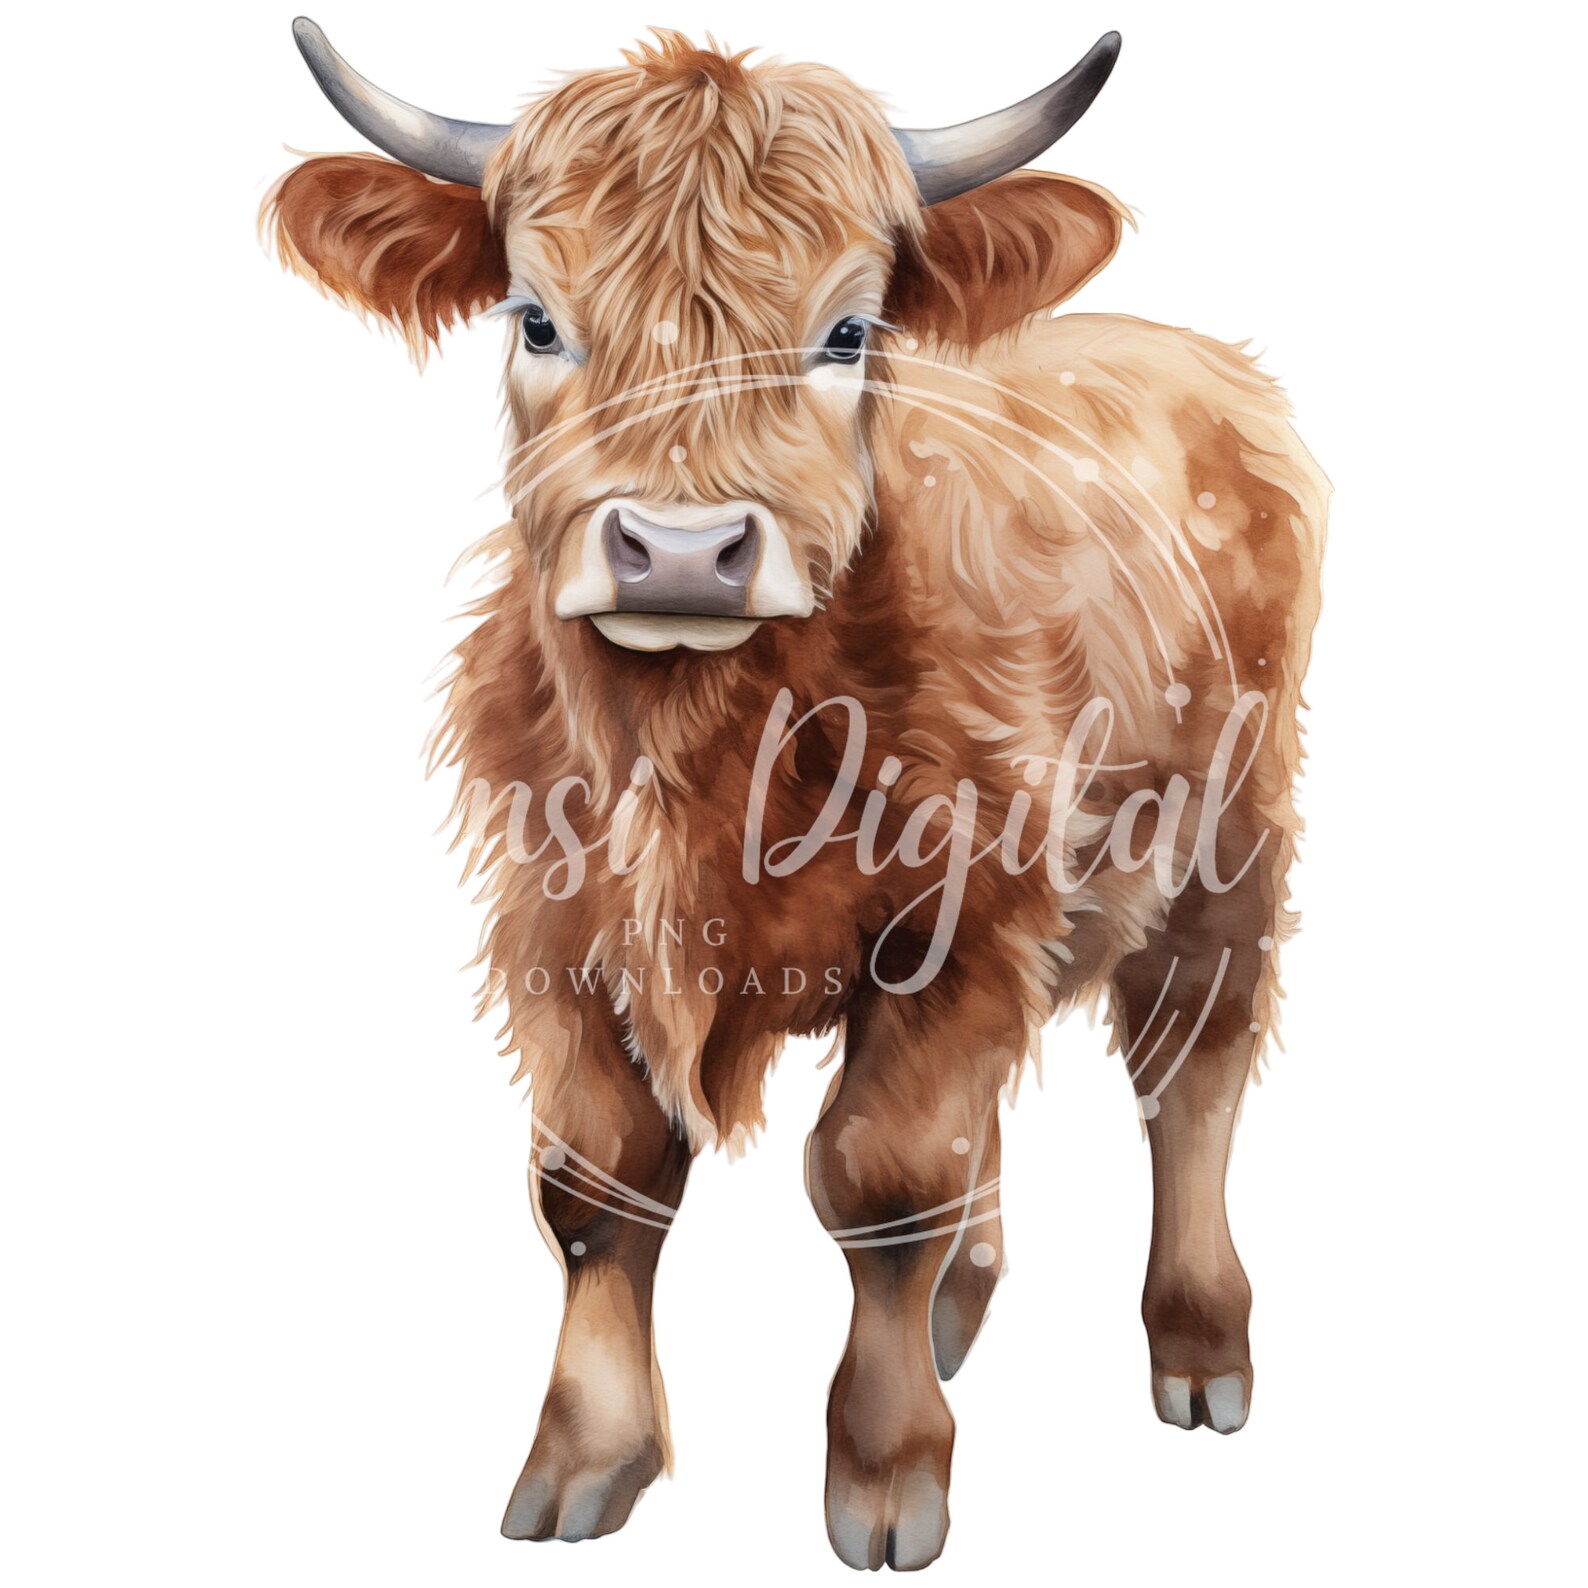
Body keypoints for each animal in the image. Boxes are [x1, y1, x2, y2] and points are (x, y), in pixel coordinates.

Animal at [264, 18, 1327, 1570]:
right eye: (535, 318)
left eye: (846, 331)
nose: (679, 552)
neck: (711, 757)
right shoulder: (556, 928)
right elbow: (594, 1184)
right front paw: (585, 1458)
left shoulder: (960, 918)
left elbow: (881, 1176)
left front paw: (886, 1475)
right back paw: (965, 1304)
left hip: (1229, 837)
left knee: (1192, 1065)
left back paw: (1197, 1345)